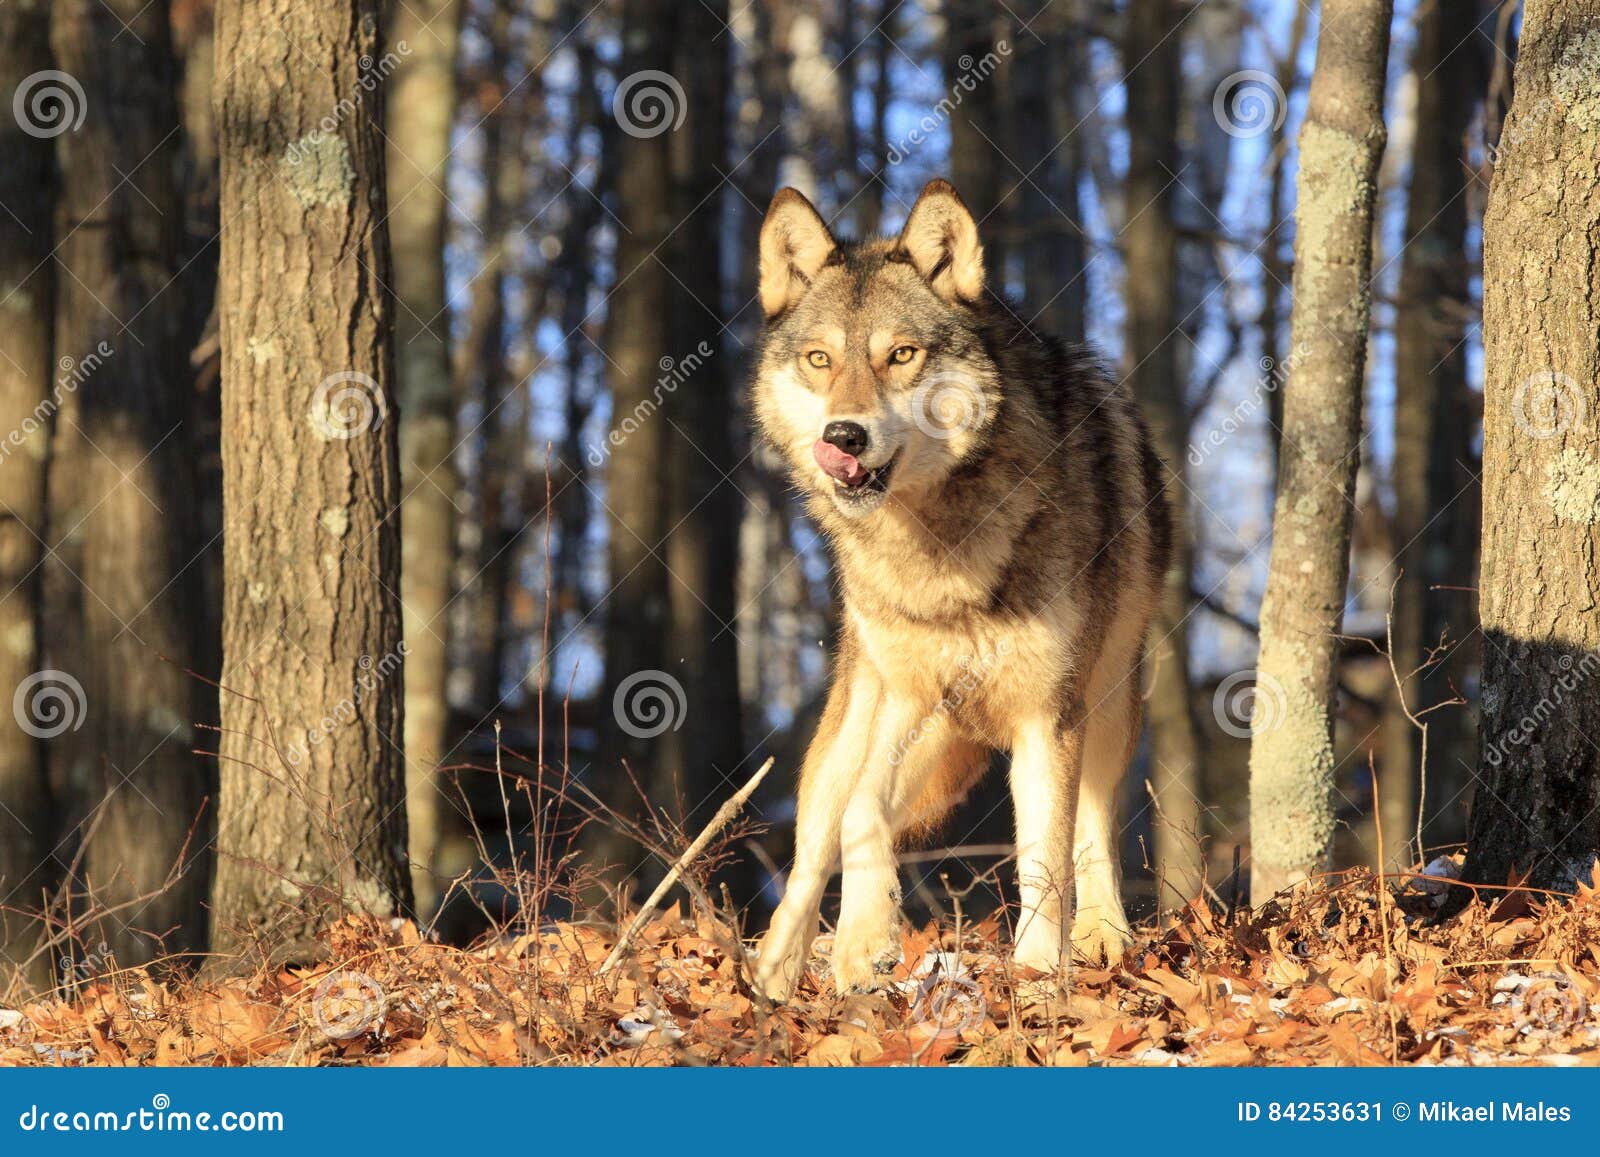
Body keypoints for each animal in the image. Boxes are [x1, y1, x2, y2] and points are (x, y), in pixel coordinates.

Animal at [748, 179, 1172, 1001]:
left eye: (901, 355)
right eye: (820, 359)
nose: (842, 437)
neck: (938, 550)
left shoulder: (1050, 715)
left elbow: (1046, 854)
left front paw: (1038, 976)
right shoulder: (910, 699)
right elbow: (860, 814)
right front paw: (864, 943)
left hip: (1108, 707)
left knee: (1094, 826)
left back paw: (1103, 938)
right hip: (859, 725)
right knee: (817, 838)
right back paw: (774, 976)